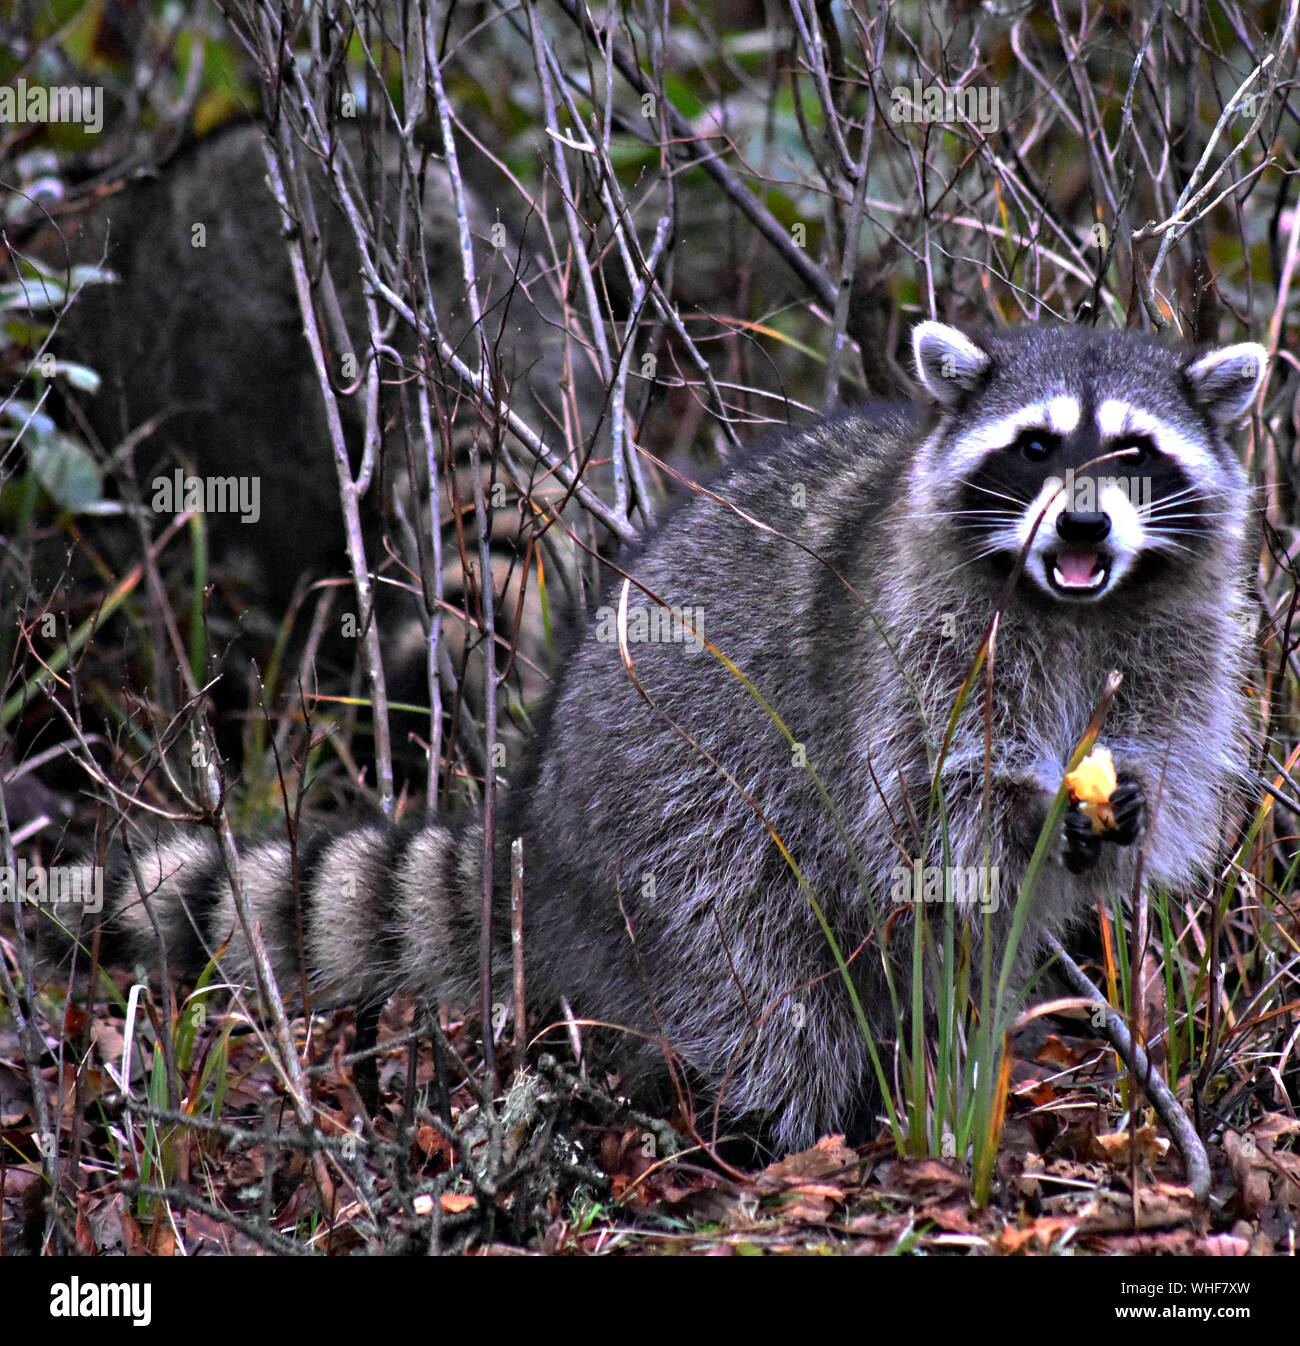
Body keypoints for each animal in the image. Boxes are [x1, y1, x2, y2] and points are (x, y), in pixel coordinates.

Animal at [69, 322, 1266, 1150]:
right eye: (1034, 448)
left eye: (1133, 453)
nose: (1083, 521)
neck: (1072, 602)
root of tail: (537, 827)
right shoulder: (912, 643)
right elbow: (925, 794)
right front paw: (1027, 801)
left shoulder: (1181, 631)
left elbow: (1165, 761)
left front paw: (1127, 798)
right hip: (680, 822)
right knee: (761, 986)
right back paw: (771, 1133)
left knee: (950, 971)